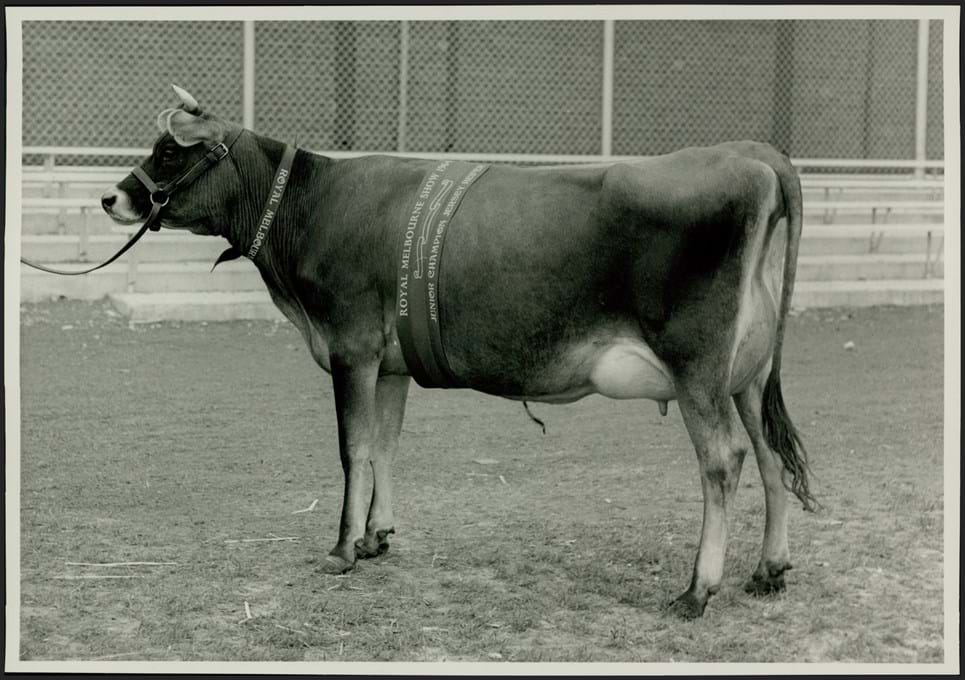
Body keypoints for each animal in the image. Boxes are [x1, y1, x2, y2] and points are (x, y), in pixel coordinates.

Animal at [101, 86, 814, 618]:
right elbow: (384, 444)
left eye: (169, 152)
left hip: (697, 367)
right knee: (771, 452)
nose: (112, 196)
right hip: (746, 375)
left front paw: (341, 549)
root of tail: (753, 157)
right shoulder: (390, 362)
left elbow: (352, 448)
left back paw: (698, 590)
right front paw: (377, 535)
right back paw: (769, 569)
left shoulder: (351, 346)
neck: (313, 208)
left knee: (723, 459)